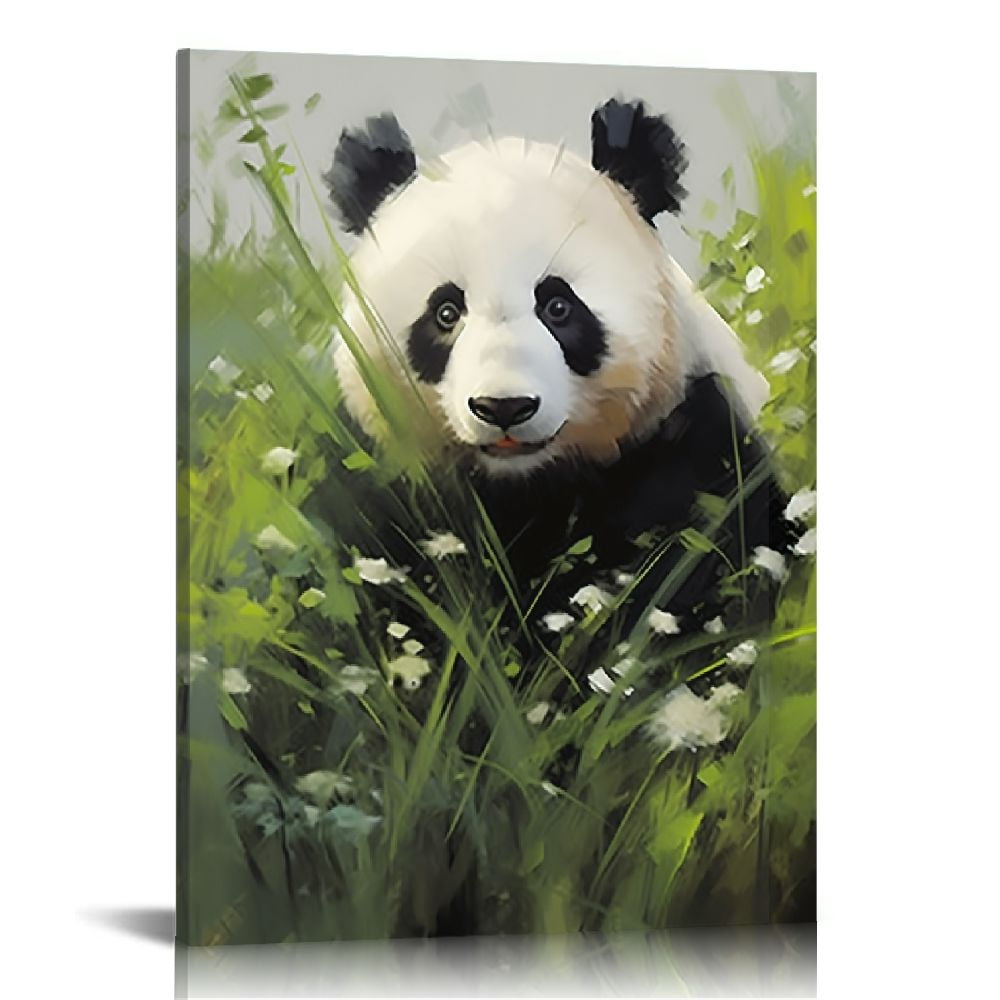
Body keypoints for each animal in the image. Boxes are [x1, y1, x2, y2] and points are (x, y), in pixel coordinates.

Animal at [323, 98, 797, 635]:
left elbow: (694, 565)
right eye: (445, 312)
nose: (503, 408)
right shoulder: (388, 479)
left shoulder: (693, 438)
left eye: (558, 307)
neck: (527, 485)